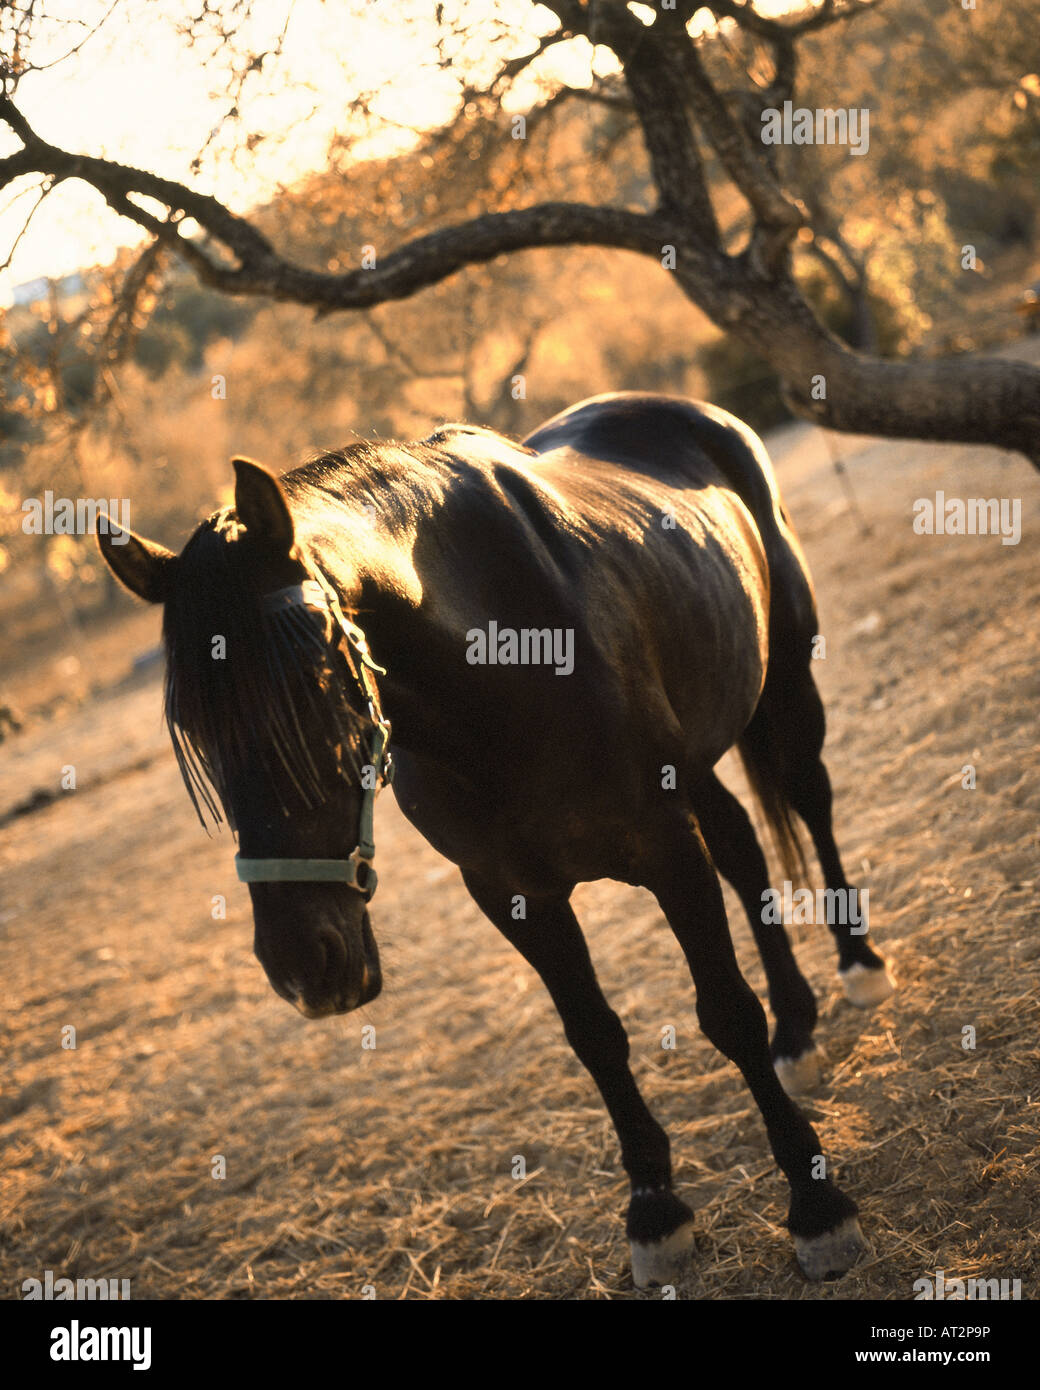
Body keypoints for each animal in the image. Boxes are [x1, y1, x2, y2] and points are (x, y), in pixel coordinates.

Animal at [97, 391, 895, 1289]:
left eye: (315, 686)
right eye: (196, 734)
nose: (305, 967)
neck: (498, 668)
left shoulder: (664, 850)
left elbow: (725, 1012)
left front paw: (815, 1203)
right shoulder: (512, 894)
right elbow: (595, 1040)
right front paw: (656, 1212)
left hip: (786, 684)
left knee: (810, 803)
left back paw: (859, 966)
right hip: (695, 764)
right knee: (744, 849)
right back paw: (797, 1028)